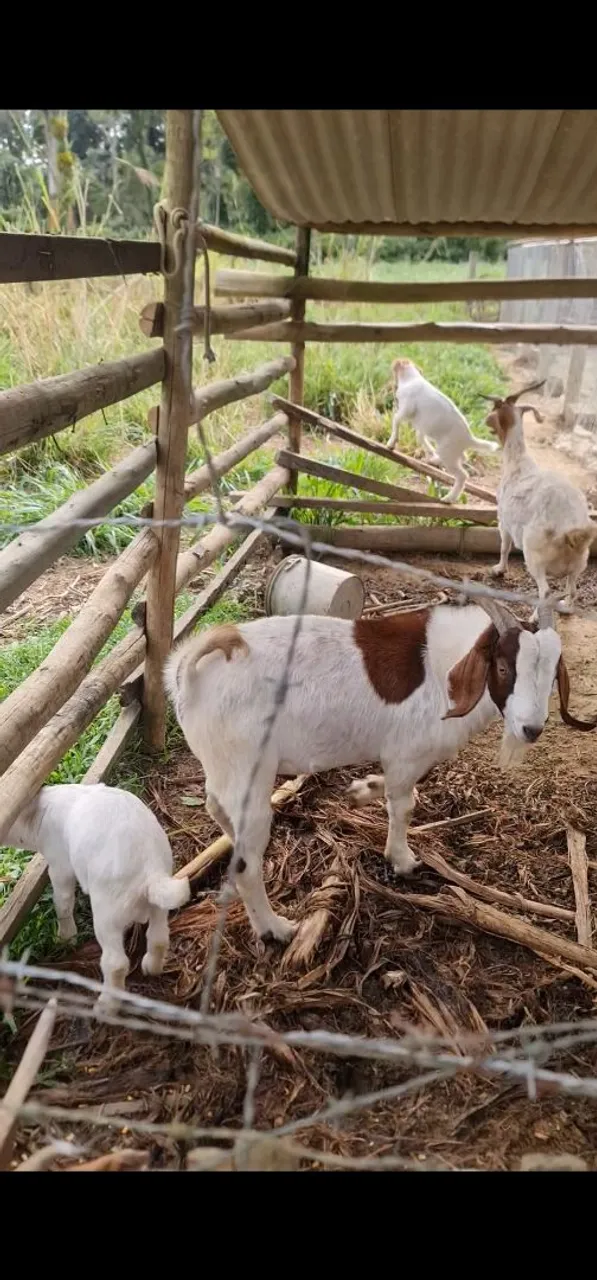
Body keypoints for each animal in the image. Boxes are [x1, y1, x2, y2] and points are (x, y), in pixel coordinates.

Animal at [3, 784, 190, 1009]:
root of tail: (151, 873)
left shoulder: (59, 862)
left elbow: (62, 900)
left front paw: (65, 938)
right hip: (159, 902)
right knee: (159, 937)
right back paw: (150, 968)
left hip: (108, 911)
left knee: (116, 962)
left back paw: (105, 1006)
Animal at [165, 601, 594, 946]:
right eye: (503, 667)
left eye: (553, 675)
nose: (531, 729)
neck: (443, 671)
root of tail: (189, 673)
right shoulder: (407, 753)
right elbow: (403, 806)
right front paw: (402, 860)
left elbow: (402, 793)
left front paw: (361, 790)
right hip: (249, 775)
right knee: (246, 864)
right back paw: (277, 929)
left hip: (226, 770)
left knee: (217, 809)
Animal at [388, 358, 500, 503]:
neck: (412, 378)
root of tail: (469, 438)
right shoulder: (421, 425)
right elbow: (420, 436)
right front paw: (429, 451)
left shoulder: (406, 410)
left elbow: (395, 420)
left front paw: (391, 443)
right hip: (450, 452)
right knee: (463, 458)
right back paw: (434, 460)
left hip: (448, 455)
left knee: (463, 476)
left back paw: (449, 498)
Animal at [482, 382, 595, 616]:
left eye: (495, 409)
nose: (485, 420)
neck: (518, 463)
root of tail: (572, 531)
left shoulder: (503, 520)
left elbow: (504, 546)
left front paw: (499, 569)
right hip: (579, 562)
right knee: (573, 589)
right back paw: (566, 607)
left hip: (535, 555)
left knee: (545, 591)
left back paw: (534, 619)